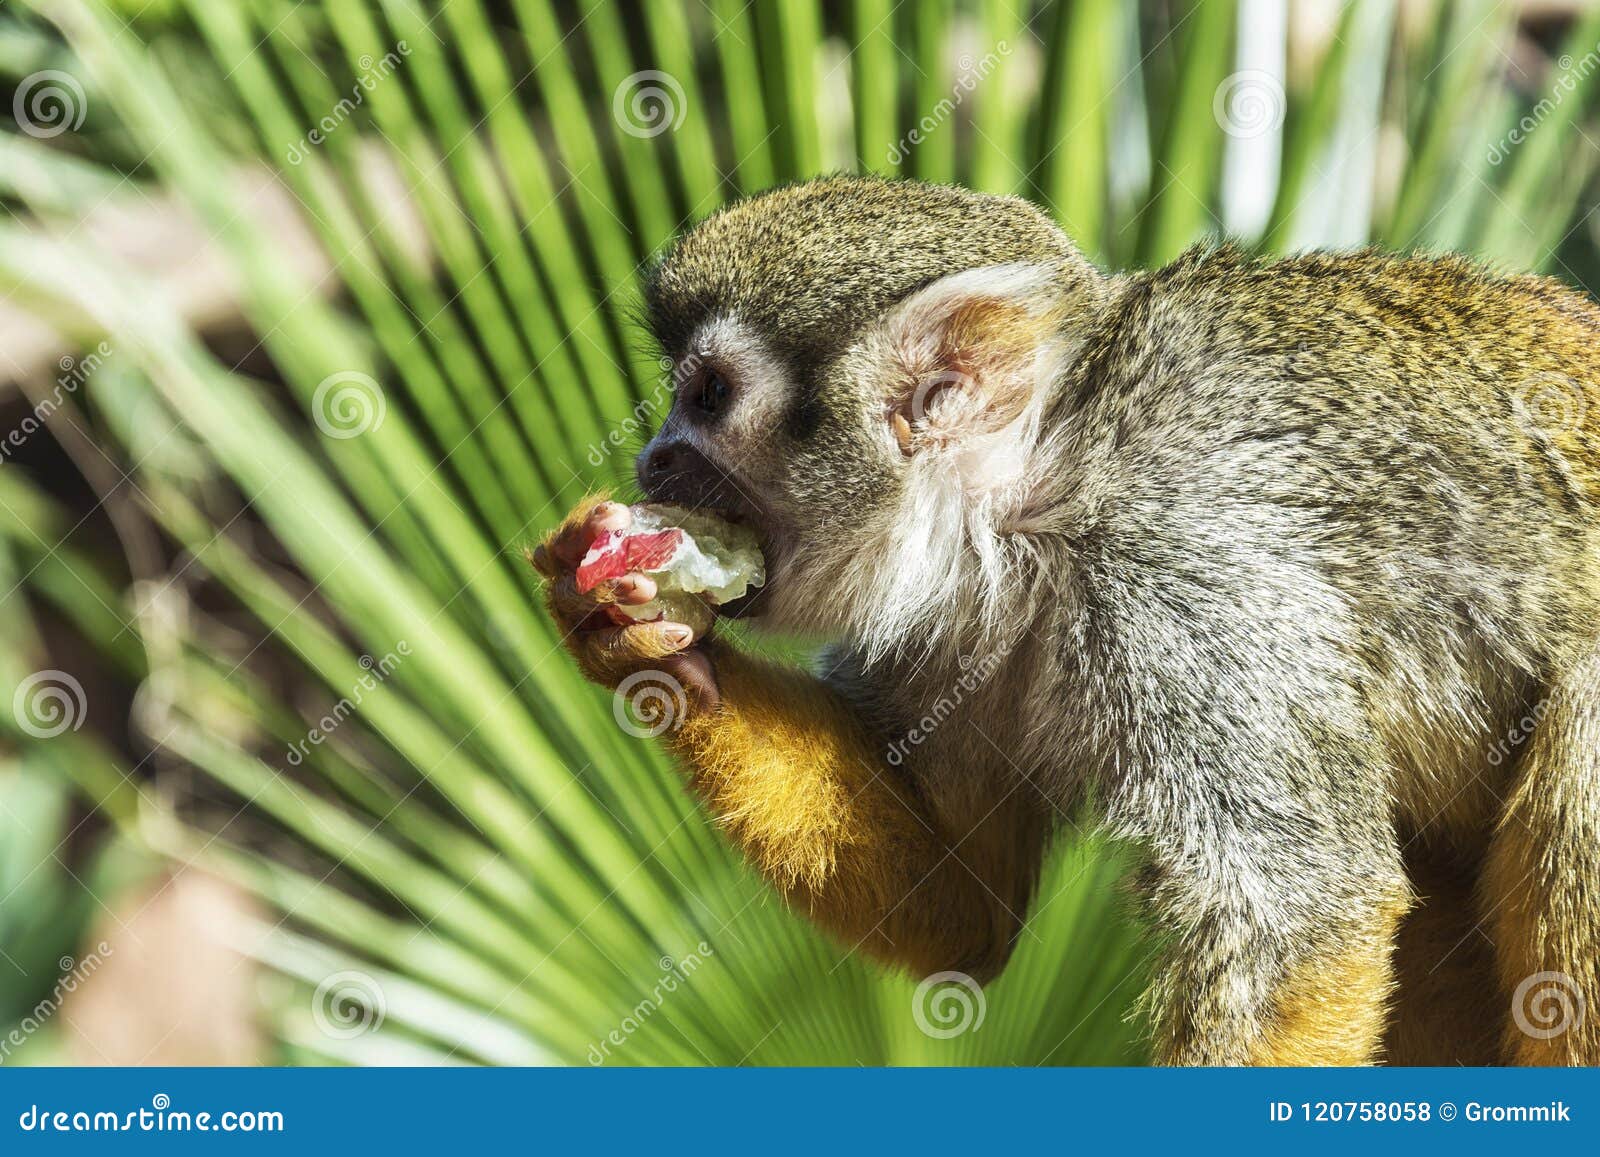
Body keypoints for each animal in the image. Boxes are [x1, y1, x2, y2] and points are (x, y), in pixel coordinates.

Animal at [530, 175, 1600, 1066]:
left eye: (708, 397)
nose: (653, 458)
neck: (1040, 495)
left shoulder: (1189, 569)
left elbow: (1302, 912)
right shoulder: (950, 624)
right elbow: (964, 907)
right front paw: (641, 641)